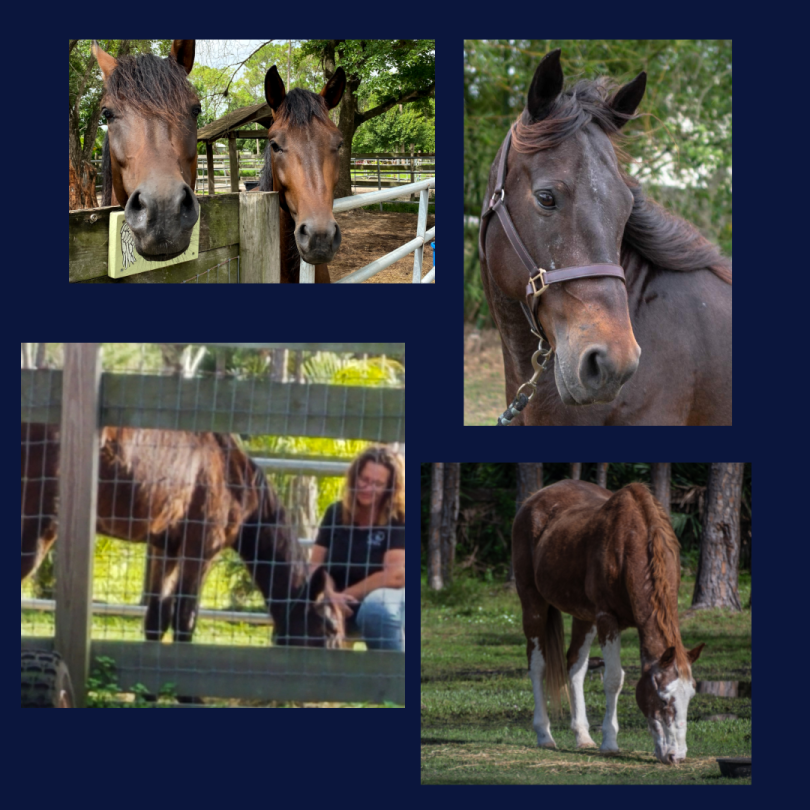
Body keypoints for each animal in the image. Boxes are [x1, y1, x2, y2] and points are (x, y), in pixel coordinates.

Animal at [21, 423, 344, 649]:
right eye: (329, 627)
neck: (233, 475)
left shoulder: (167, 549)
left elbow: (157, 617)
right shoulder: (201, 550)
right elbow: (185, 617)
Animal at [512, 480, 705, 765]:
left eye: (690, 696)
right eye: (662, 699)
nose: (677, 756)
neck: (631, 544)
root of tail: (532, 500)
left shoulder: (597, 618)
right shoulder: (607, 619)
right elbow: (614, 679)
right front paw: (610, 742)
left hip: (584, 616)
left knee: (575, 667)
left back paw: (582, 735)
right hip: (533, 603)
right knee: (537, 666)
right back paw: (544, 735)